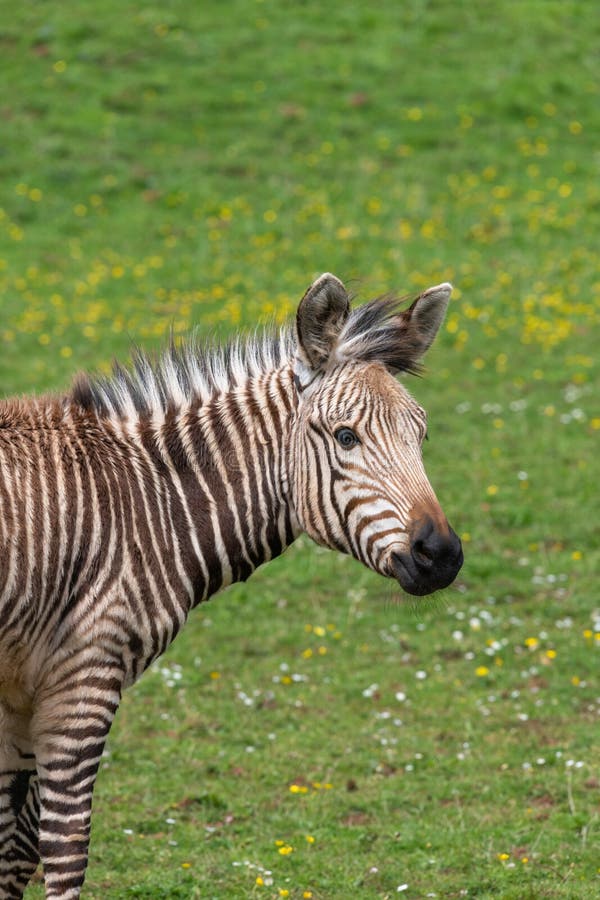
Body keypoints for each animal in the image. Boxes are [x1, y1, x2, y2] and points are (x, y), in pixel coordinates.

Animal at [0, 273, 463, 898]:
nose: (442, 557)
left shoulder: (20, 696)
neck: (144, 505)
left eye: (423, 436)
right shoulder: (82, 679)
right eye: (346, 437)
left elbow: (12, 852)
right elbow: (61, 846)